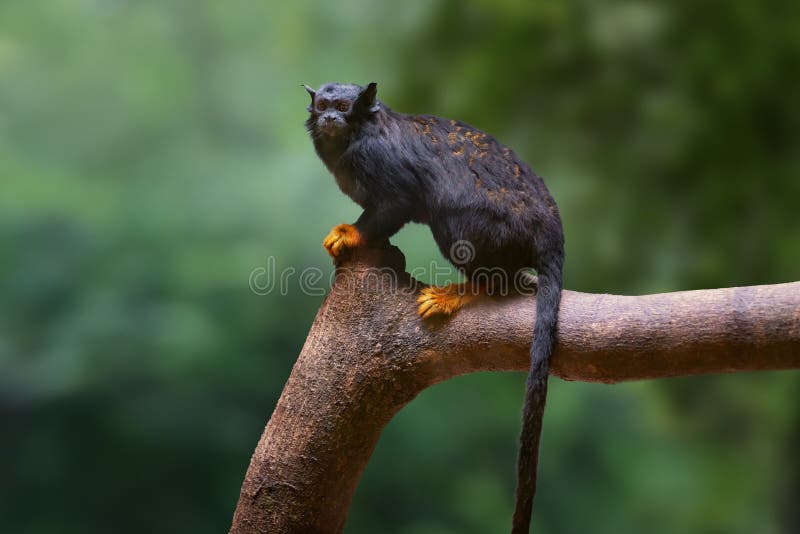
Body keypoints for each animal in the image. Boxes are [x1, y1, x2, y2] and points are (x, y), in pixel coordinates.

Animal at [304, 82, 564, 534]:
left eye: (344, 107)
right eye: (322, 105)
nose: (330, 119)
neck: (357, 136)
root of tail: (550, 228)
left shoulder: (382, 165)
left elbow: (397, 203)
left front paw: (353, 234)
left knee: (453, 218)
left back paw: (470, 290)